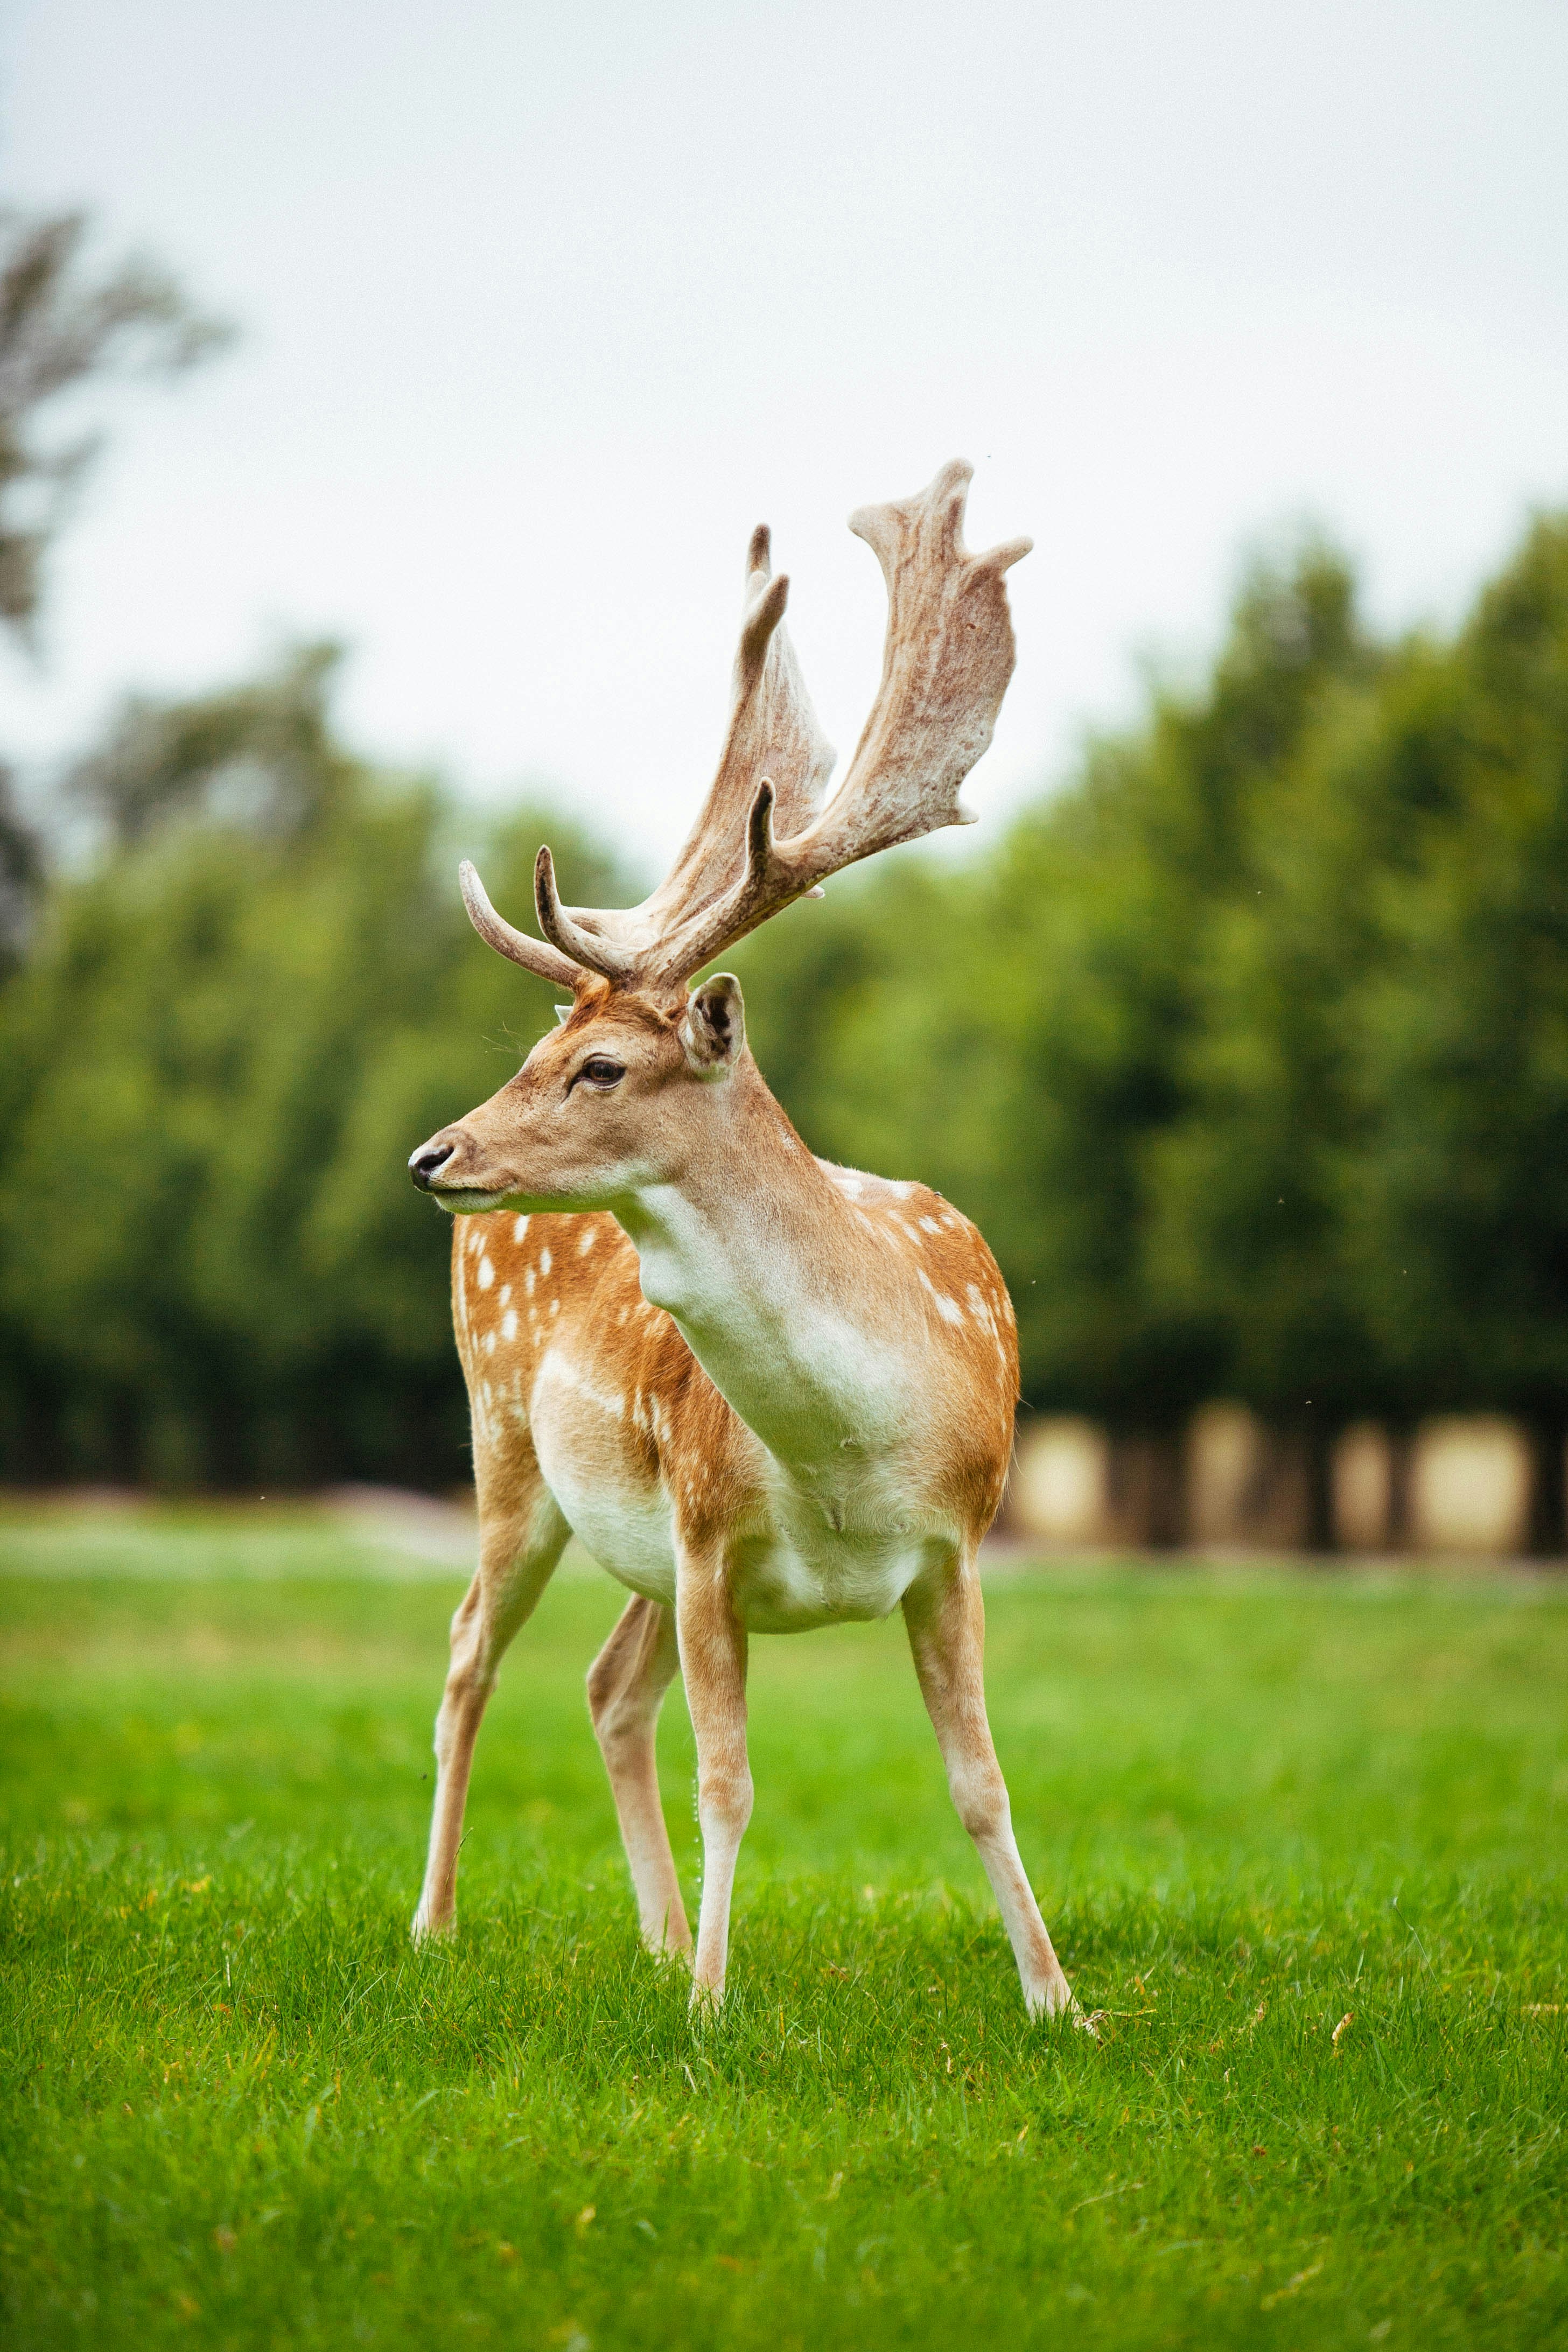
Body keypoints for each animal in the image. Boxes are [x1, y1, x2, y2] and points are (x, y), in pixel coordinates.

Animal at [406, 459, 1072, 2020]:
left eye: (600, 1066)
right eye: (547, 1051)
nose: (434, 1155)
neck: (852, 1460)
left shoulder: (958, 1546)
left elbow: (983, 1785)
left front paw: (1058, 2000)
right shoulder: (709, 1538)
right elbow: (732, 1779)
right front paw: (717, 2004)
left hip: (622, 1539)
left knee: (604, 1684)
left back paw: (650, 1940)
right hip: (507, 1444)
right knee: (469, 1657)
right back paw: (439, 1926)